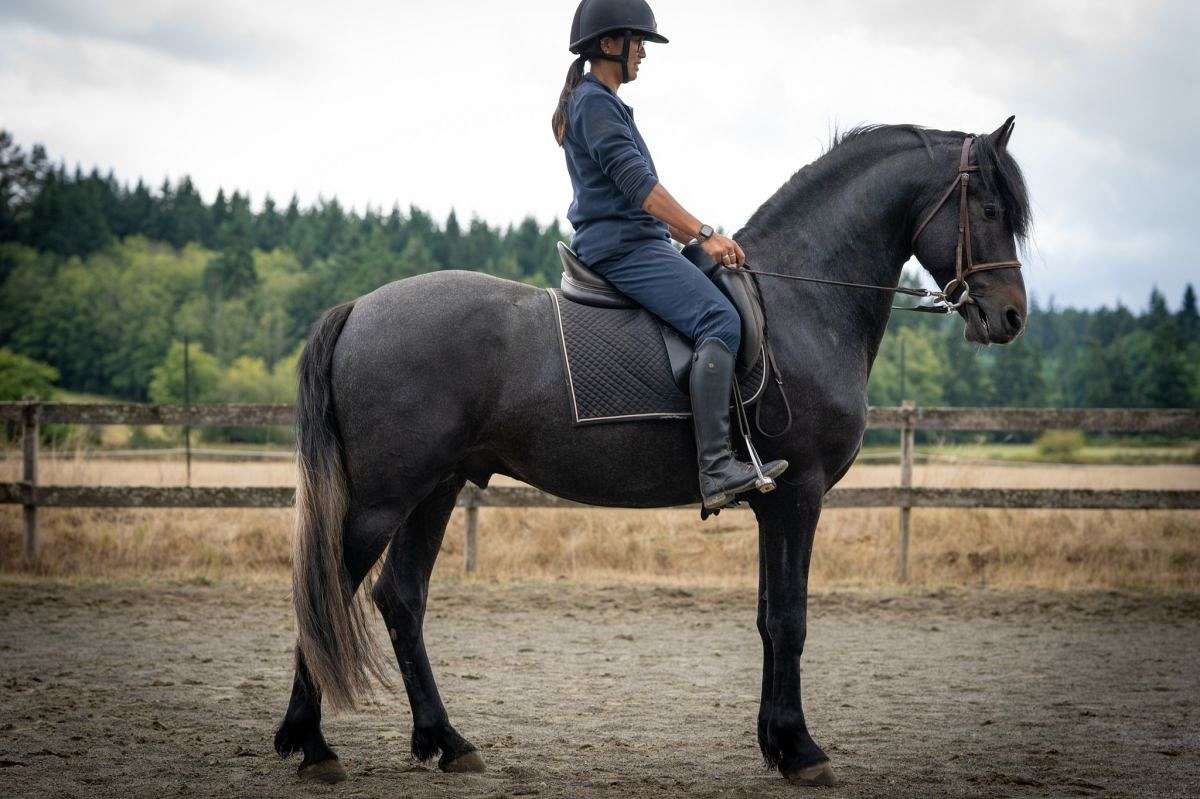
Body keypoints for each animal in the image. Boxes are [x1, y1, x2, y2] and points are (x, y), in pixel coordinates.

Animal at [272, 118, 1031, 785]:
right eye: (991, 207)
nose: (1011, 316)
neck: (801, 302)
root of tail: (359, 309)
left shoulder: (772, 502)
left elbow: (767, 619)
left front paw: (774, 743)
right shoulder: (798, 494)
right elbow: (790, 620)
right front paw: (801, 749)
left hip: (435, 488)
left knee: (400, 597)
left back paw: (445, 741)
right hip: (384, 498)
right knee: (328, 592)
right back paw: (313, 746)